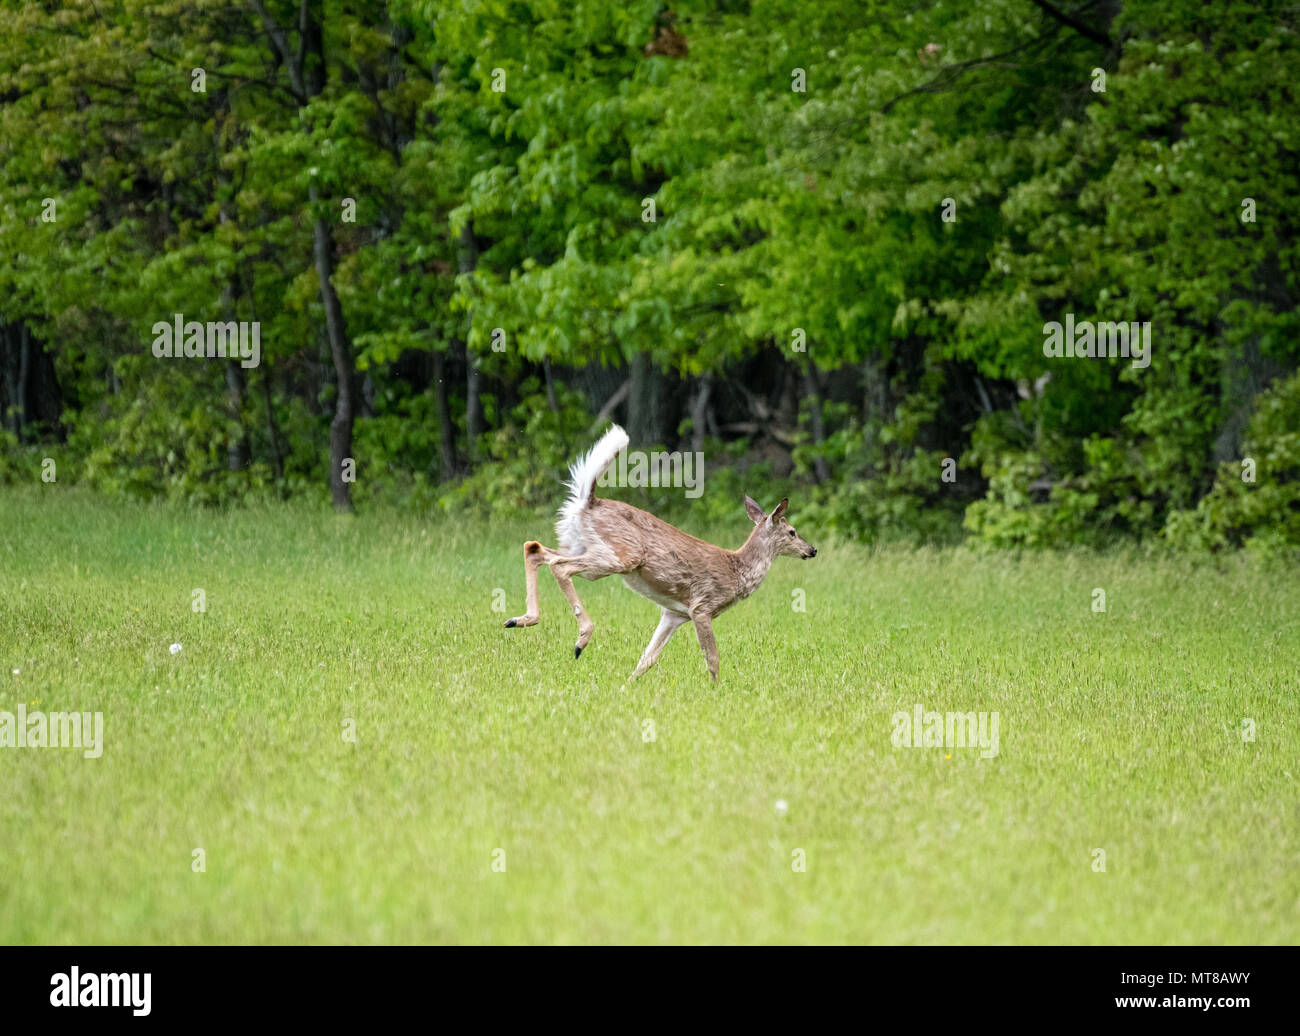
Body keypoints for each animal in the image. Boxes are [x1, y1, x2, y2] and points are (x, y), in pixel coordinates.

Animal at [503, 424, 817, 682]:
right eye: (792, 532)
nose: (812, 550)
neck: (738, 570)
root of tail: (587, 501)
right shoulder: (702, 606)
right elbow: (712, 659)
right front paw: (717, 692)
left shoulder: (674, 613)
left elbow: (648, 658)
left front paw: (627, 687)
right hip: (621, 556)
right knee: (560, 565)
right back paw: (580, 640)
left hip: (580, 544)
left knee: (534, 548)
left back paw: (519, 619)